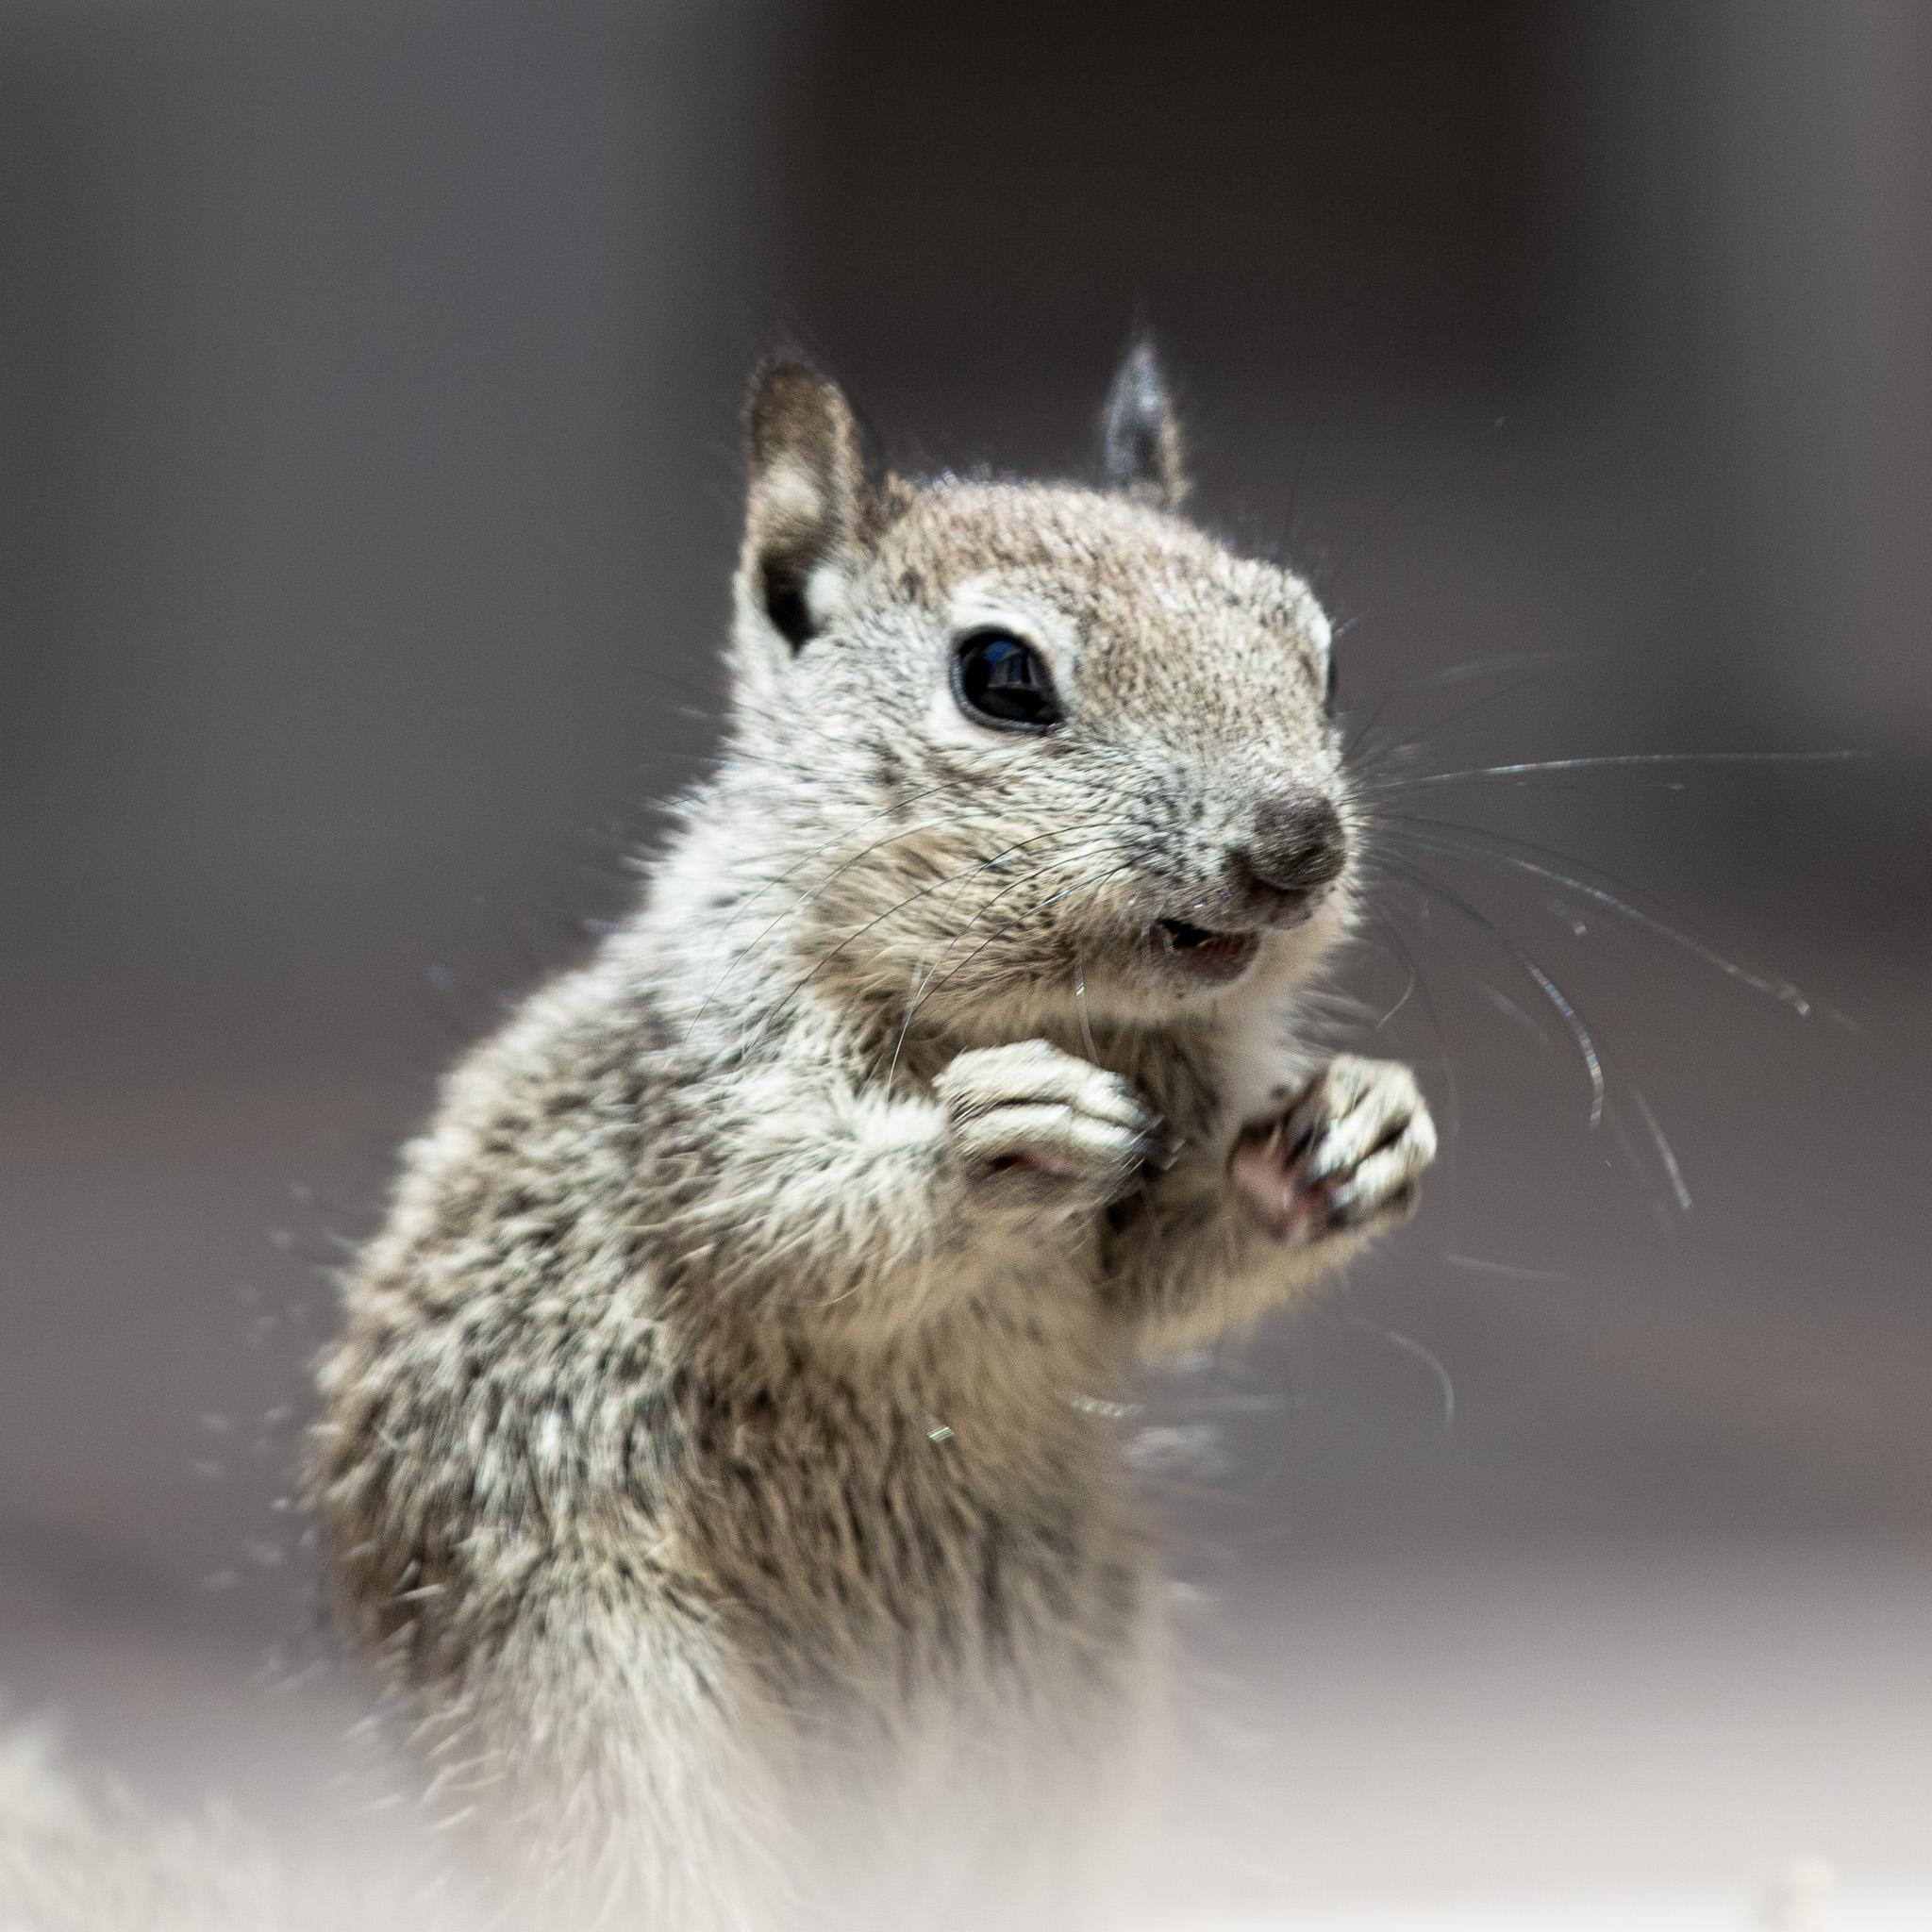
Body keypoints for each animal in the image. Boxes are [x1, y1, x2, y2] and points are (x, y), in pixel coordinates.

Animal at [310, 342, 1437, 1929]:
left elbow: (1152, 1281)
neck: (1060, 1010)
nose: (1298, 846)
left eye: (1320, 652)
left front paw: (1352, 1134)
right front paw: (992, 1141)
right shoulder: (713, 1070)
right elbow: (776, 1225)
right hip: (615, 1717)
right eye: (1001, 676)